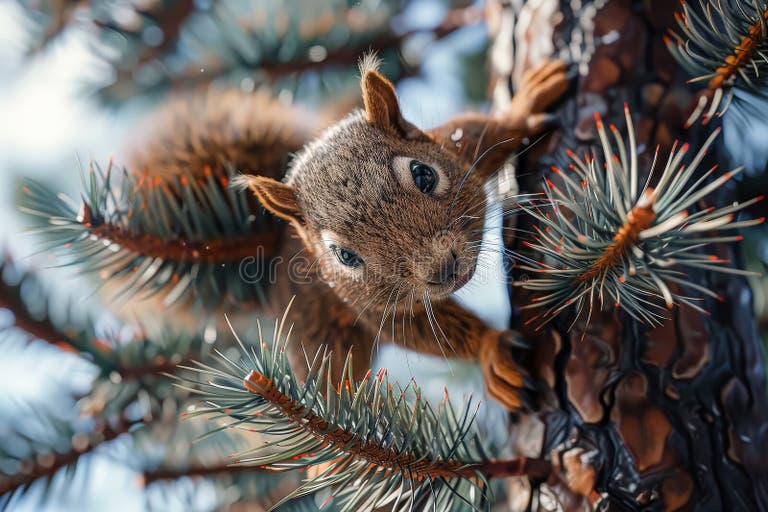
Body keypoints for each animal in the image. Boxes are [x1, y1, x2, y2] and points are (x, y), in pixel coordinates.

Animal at [224, 54, 570, 412]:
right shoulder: (371, 307)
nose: (442, 268)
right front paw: (491, 351)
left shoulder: (454, 145)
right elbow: (424, 333)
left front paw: (523, 108)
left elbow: (483, 130)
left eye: (424, 174)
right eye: (345, 256)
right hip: (315, 328)